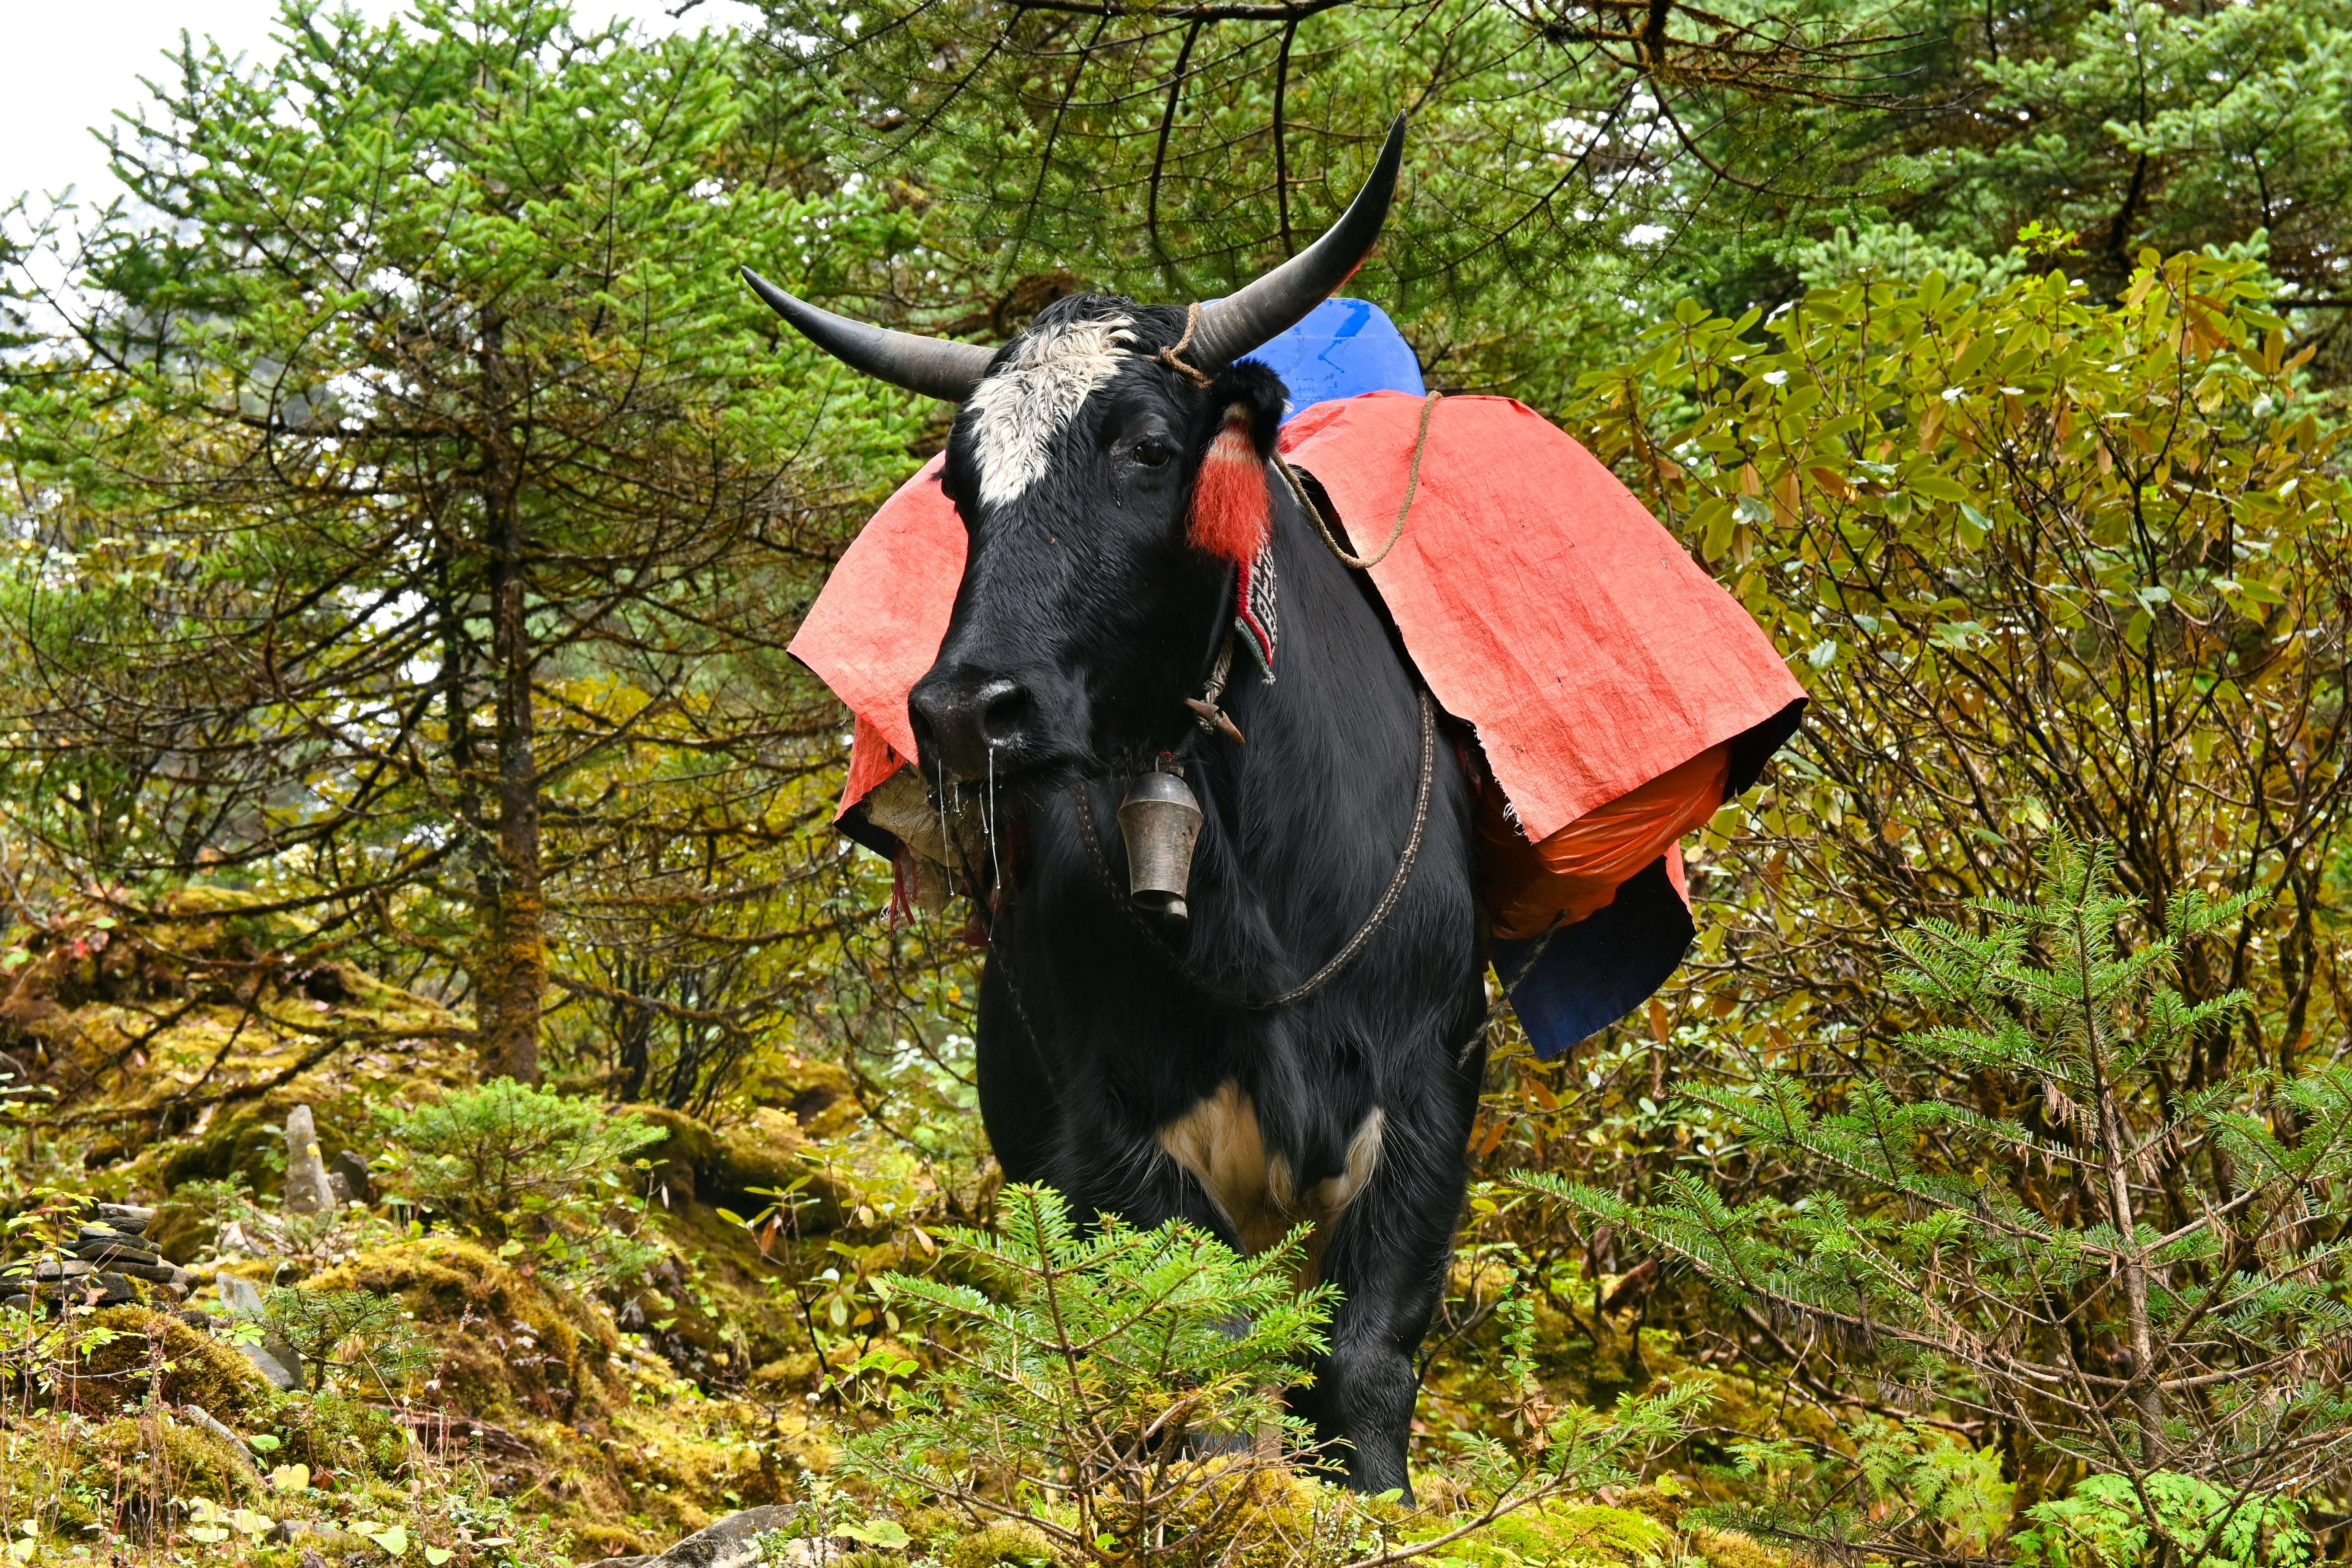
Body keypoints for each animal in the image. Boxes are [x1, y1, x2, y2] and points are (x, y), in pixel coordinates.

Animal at [746, 119, 1484, 1497]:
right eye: (958, 487)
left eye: (1145, 446)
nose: (962, 711)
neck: (1262, 888)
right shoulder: (1108, 1137)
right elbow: (1202, 1347)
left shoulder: (1425, 1102)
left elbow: (1360, 1359)